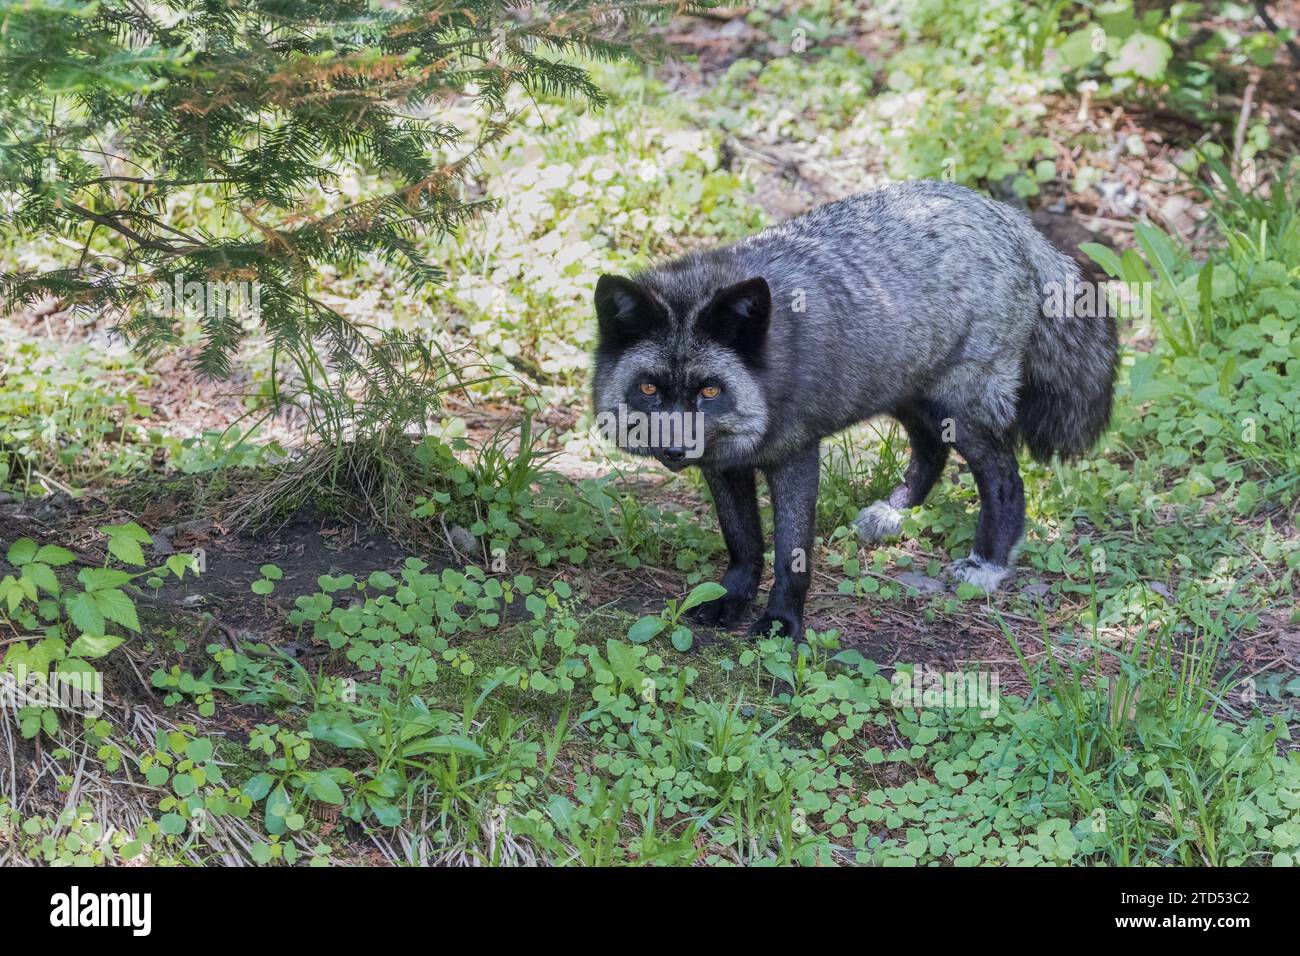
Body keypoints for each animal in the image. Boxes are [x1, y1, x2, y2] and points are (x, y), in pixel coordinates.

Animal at [592, 179, 1118, 641]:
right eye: (649, 388)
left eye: (709, 391)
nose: (675, 450)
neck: (771, 365)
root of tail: (1009, 219)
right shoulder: (723, 465)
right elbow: (742, 541)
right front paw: (731, 599)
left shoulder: (796, 455)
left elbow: (791, 552)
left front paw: (782, 620)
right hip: (907, 393)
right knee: (932, 452)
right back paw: (895, 512)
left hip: (960, 406)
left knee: (1005, 479)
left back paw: (987, 562)